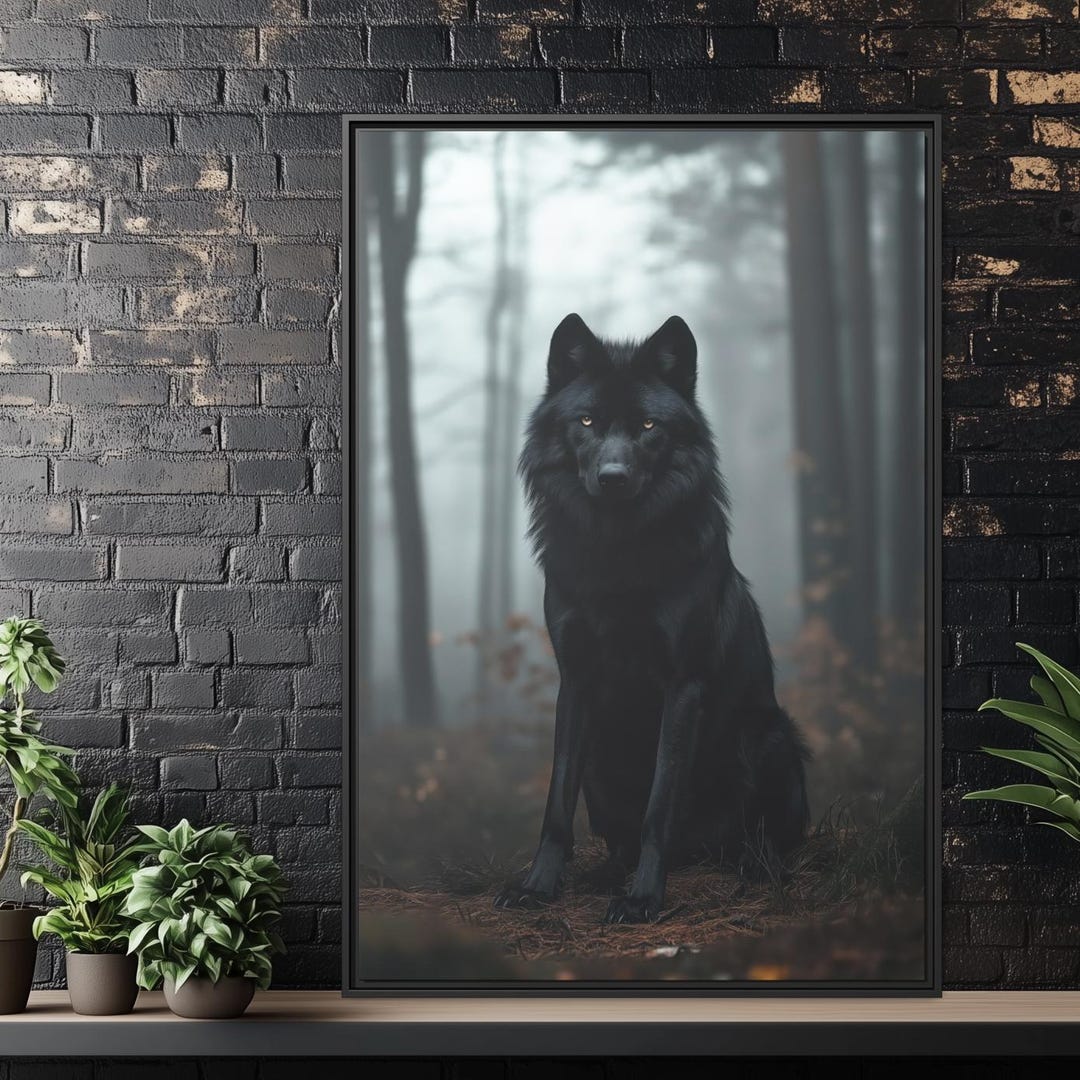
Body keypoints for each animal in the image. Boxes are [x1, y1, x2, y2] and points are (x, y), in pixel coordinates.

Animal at [493, 312, 809, 924]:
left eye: (646, 425)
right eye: (587, 421)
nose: (613, 476)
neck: (618, 551)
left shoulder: (682, 686)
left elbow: (659, 808)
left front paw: (643, 898)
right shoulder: (577, 681)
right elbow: (556, 804)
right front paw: (538, 887)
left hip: (771, 738)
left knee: (766, 840)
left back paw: (755, 869)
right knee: (616, 837)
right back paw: (604, 874)